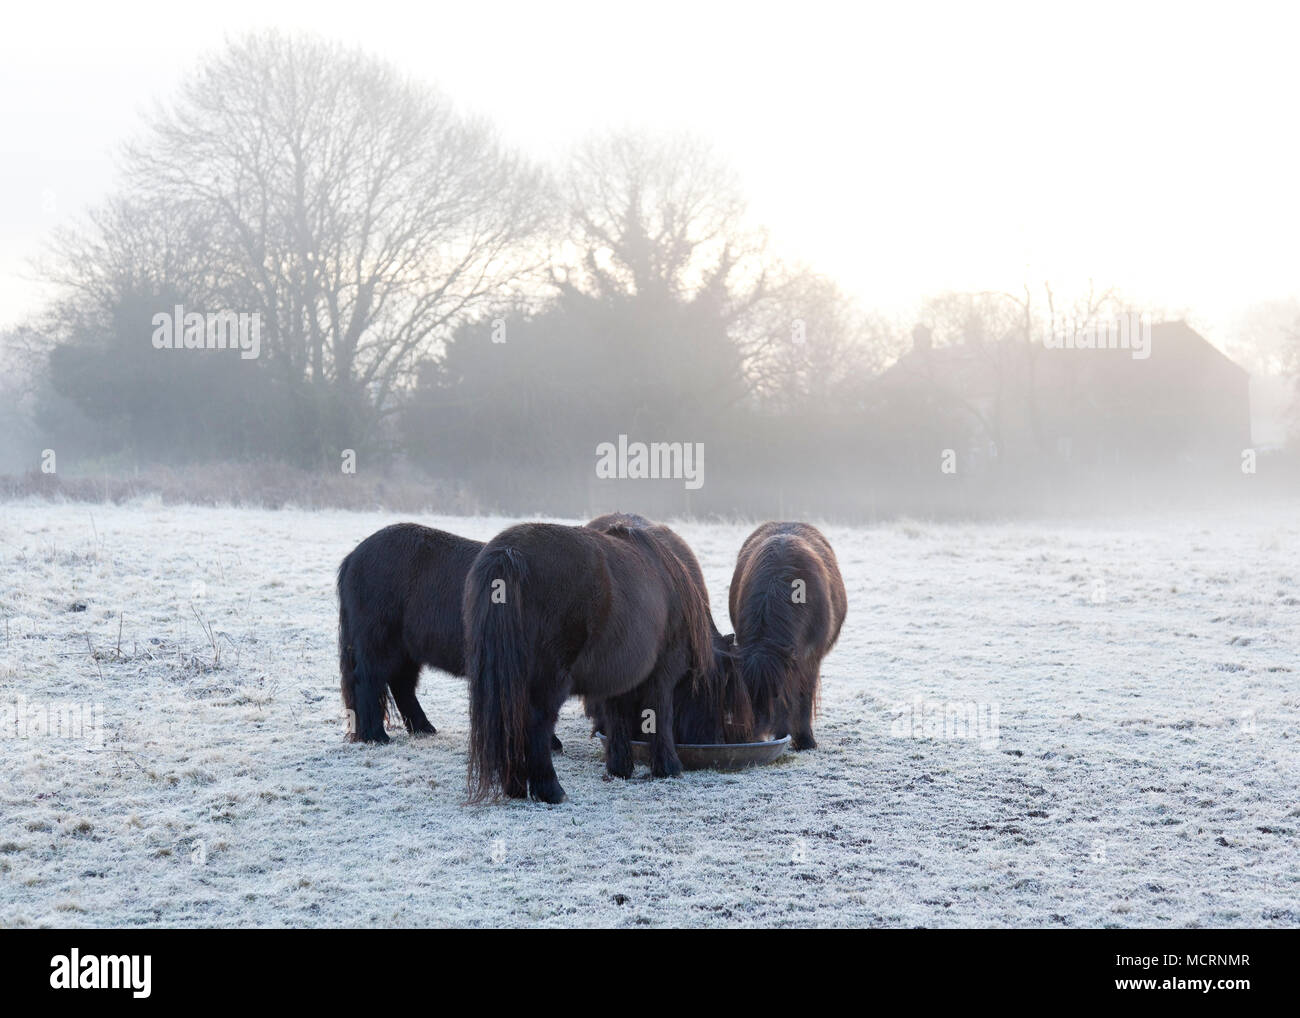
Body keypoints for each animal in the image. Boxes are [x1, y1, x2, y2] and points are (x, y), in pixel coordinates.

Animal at [337, 522, 562, 751]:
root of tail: (353, 557)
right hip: (378, 643)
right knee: (369, 680)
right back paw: (375, 736)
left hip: (406, 651)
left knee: (402, 685)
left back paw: (423, 728)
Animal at [465, 520, 716, 803]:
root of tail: (510, 553)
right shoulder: (661, 674)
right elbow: (659, 715)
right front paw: (668, 767)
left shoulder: (619, 675)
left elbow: (617, 716)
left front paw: (620, 768)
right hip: (548, 681)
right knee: (537, 723)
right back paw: (551, 790)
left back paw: (516, 788)